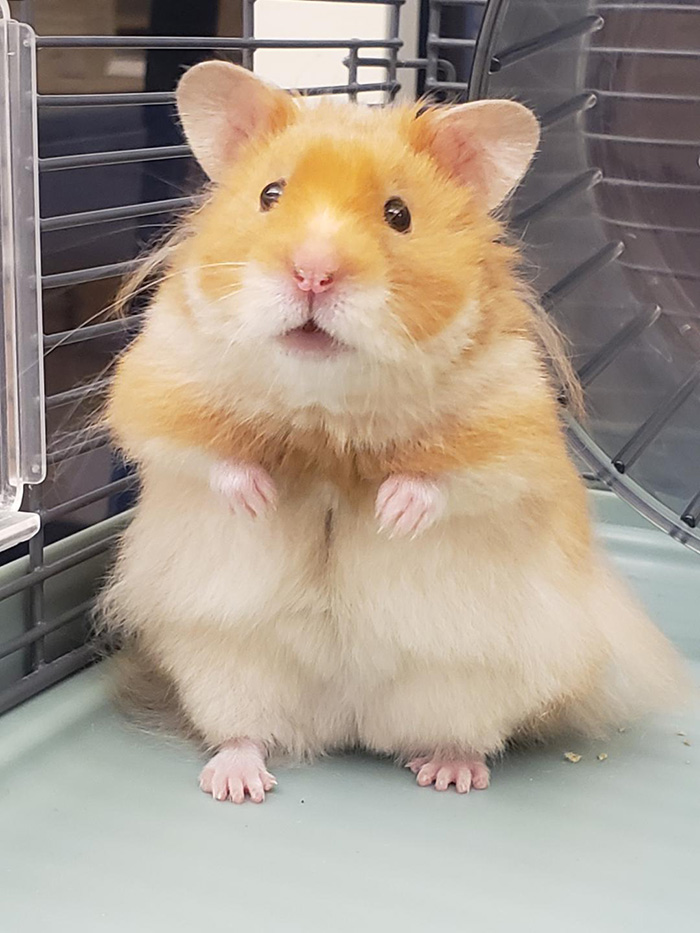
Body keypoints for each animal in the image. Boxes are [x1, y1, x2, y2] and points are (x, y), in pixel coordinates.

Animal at [99, 61, 688, 803]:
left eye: (398, 215)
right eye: (270, 194)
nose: (313, 273)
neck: (326, 408)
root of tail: (348, 721)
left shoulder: (514, 428)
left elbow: (451, 481)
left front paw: (389, 511)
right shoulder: (156, 385)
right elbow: (202, 453)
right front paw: (261, 497)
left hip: (470, 685)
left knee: (461, 733)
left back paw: (449, 773)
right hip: (224, 667)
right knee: (243, 729)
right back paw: (237, 780)